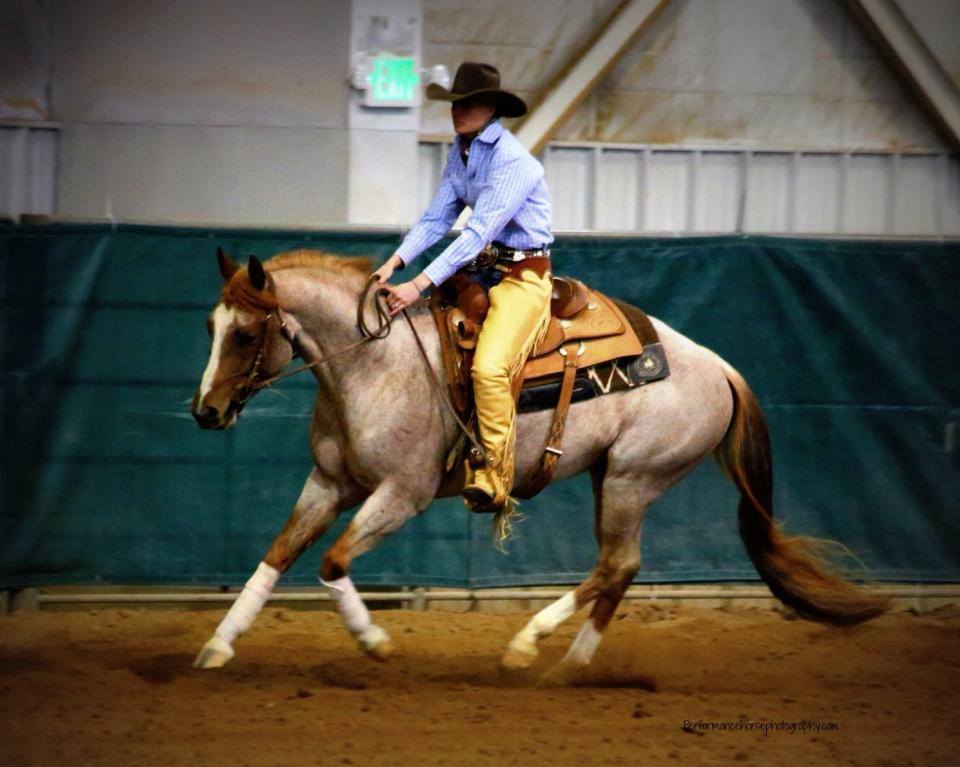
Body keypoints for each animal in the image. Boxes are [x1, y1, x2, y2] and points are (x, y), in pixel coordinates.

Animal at [189, 247, 888, 681]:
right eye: (209, 327)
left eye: (246, 334)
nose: (205, 411)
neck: (371, 364)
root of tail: (720, 369)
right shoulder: (329, 483)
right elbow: (278, 555)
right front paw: (219, 644)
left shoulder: (401, 494)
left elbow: (333, 562)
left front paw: (373, 640)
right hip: (613, 478)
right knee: (620, 570)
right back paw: (567, 668)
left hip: (634, 476)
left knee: (616, 565)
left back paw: (527, 648)